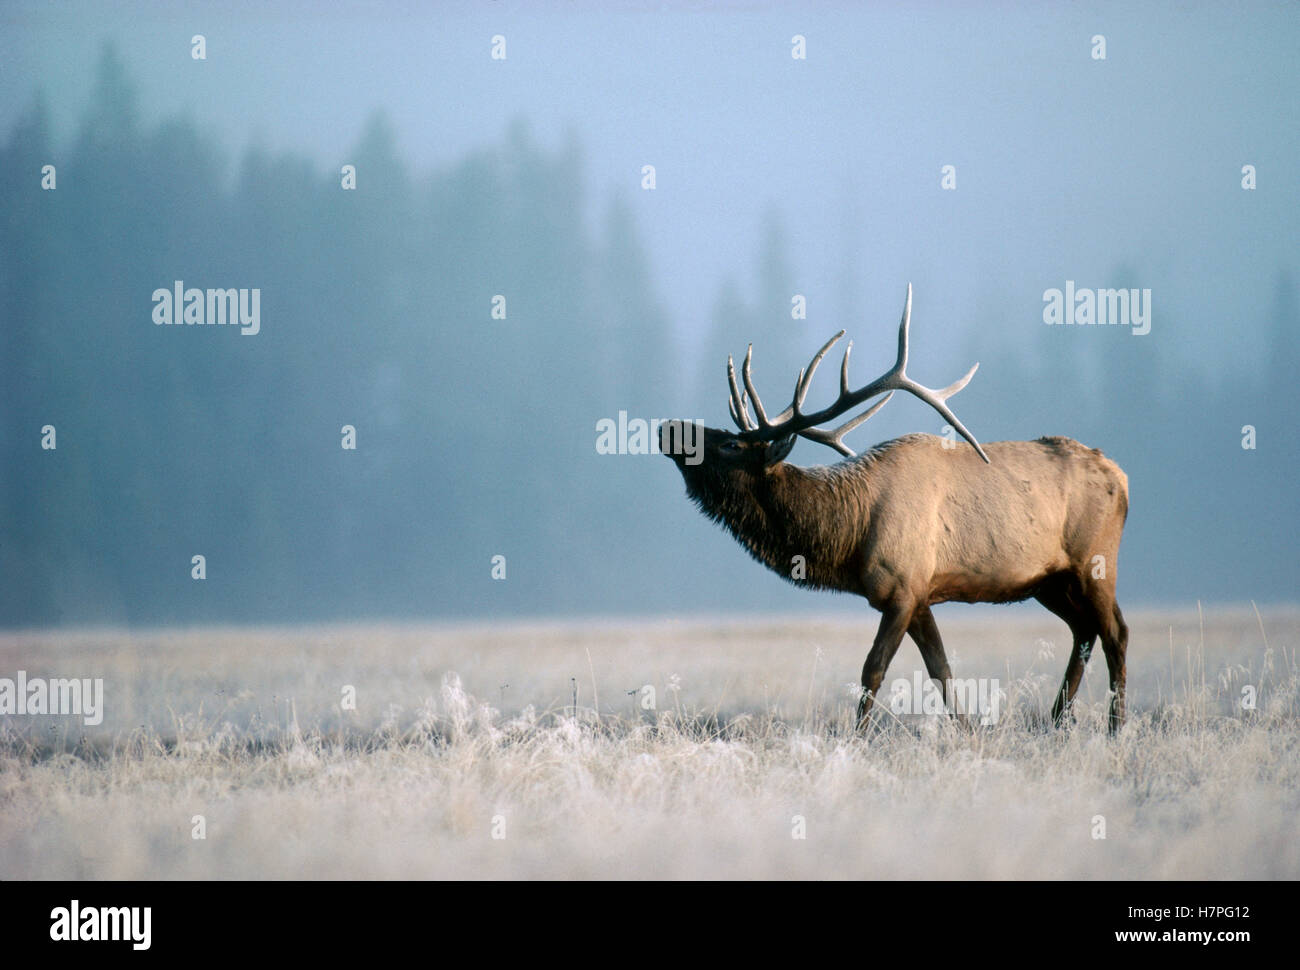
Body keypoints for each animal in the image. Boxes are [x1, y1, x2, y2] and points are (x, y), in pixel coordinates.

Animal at [660, 285, 1129, 733]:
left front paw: (858, 736)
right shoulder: (919, 594)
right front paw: (969, 732)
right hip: (1049, 581)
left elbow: (873, 670)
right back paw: (1057, 720)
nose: (668, 427)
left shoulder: (902, 589)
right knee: (1083, 631)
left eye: (731, 444)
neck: (850, 536)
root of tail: (1122, 477)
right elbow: (942, 670)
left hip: (1095, 563)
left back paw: (1115, 726)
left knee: (1115, 633)